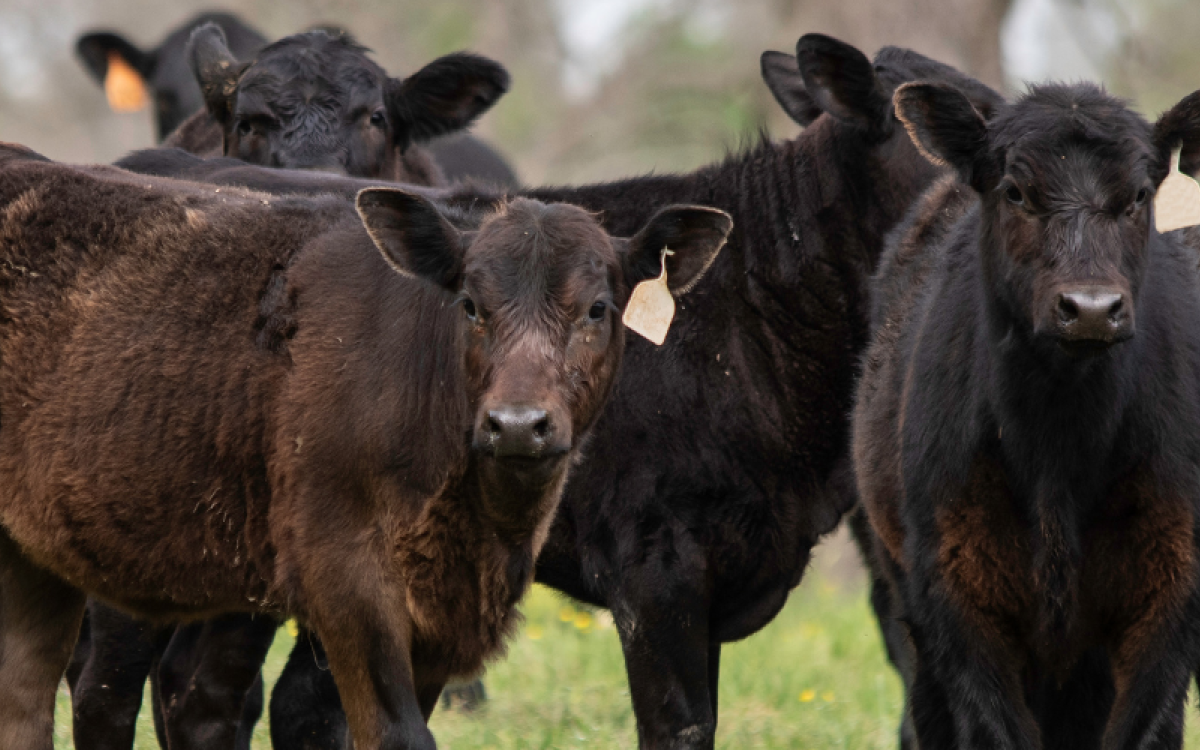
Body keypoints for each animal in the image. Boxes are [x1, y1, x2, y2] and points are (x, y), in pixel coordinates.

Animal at [0, 142, 731, 750]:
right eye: (470, 305)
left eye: (598, 309)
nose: (518, 424)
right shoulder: (344, 575)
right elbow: (393, 734)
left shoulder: (440, 618)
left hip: (34, 562)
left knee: (24, 702)